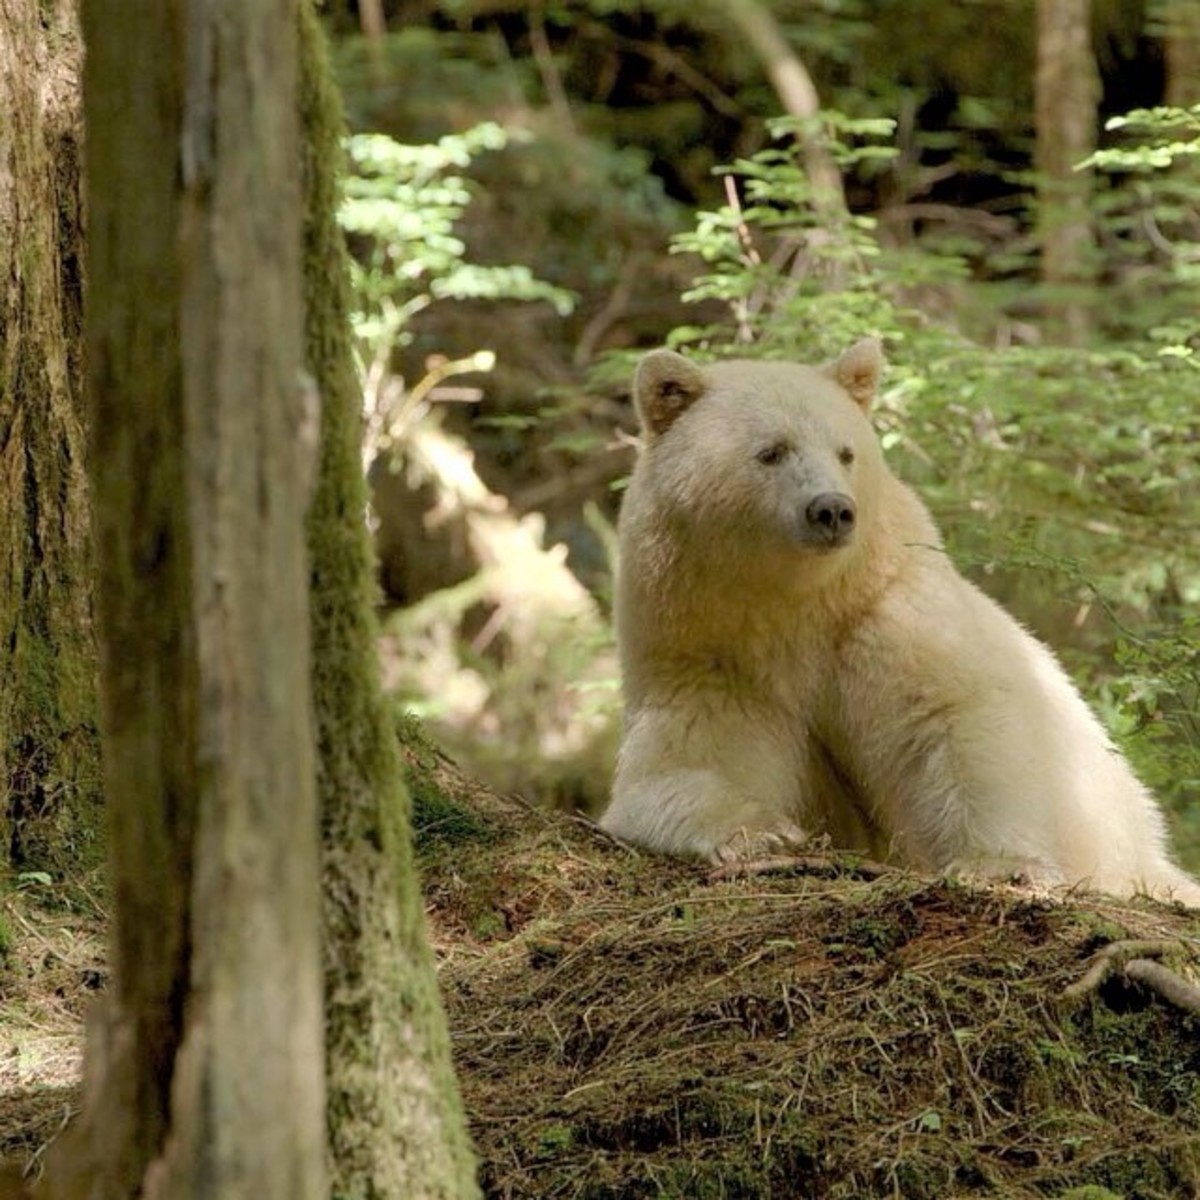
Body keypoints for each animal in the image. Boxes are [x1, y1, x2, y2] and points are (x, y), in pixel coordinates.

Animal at [599, 338, 1200, 906]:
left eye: (846, 452)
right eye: (771, 452)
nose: (832, 510)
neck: (797, 605)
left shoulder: (887, 613)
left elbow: (960, 716)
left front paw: (999, 864)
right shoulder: (711, 653)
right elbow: (689, 761)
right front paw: (761, 832)